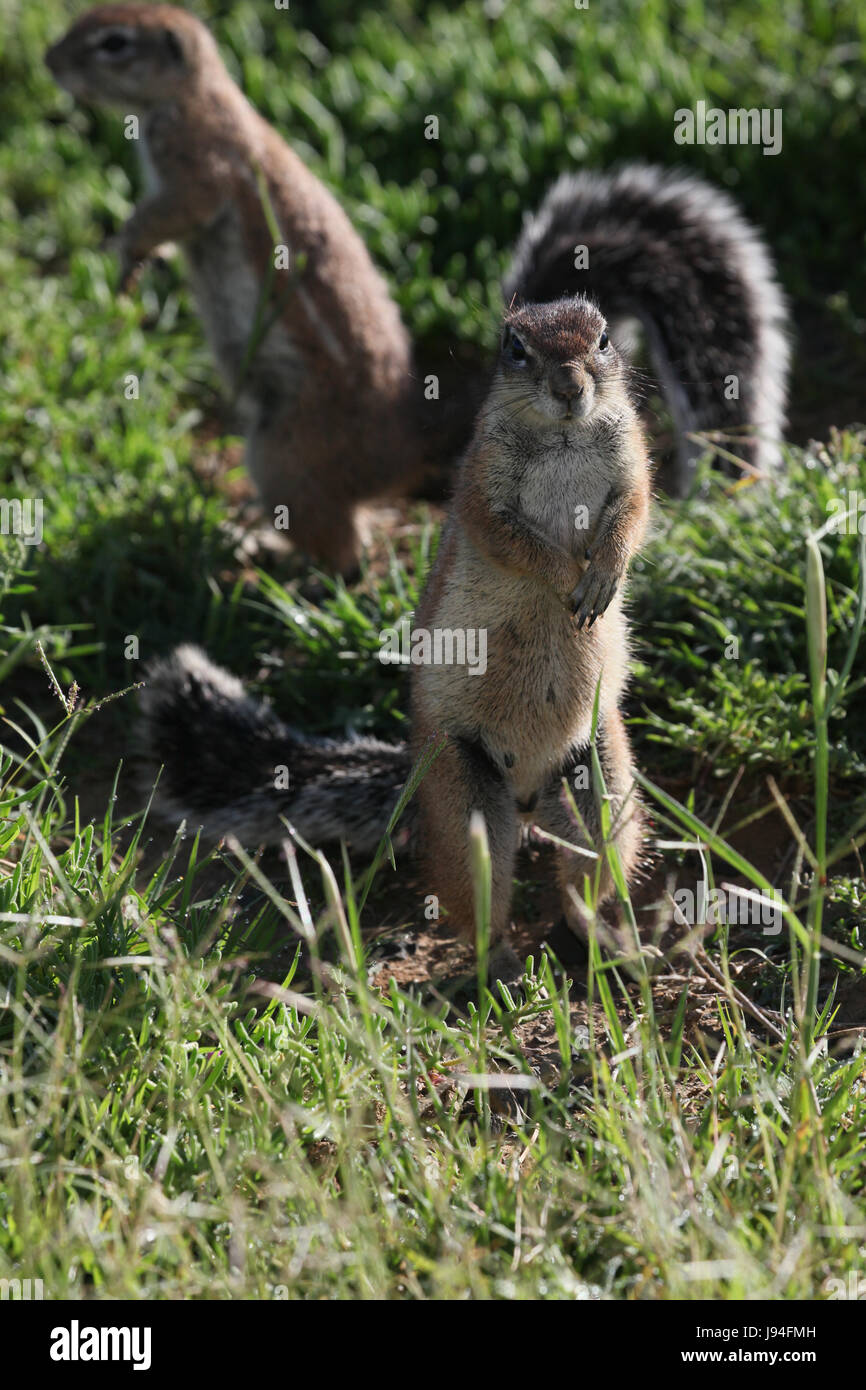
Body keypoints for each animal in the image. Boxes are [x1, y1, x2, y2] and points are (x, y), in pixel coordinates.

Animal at [46, 6, 790, 576]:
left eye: (113, 43)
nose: (51, 61)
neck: (197, 98)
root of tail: (407, 444)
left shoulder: (197, 164)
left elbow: (169, 213)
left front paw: (124, 252)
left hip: (281, 454)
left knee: (341, 543)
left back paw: (279, 559)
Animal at [139, 294, 648, 956]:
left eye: (604, 339)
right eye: (514, 348)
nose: (568, 388)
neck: (563, 435)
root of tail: (527, 798)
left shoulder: (631, 458)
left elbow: (634, 510)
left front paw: (606, 572)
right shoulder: (483, 489)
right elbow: (513, 539)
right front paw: (569, 576)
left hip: (603, 773)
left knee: (589, 866)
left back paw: (603, 939)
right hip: (463, 793)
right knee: (476, 894)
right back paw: (499, 960)